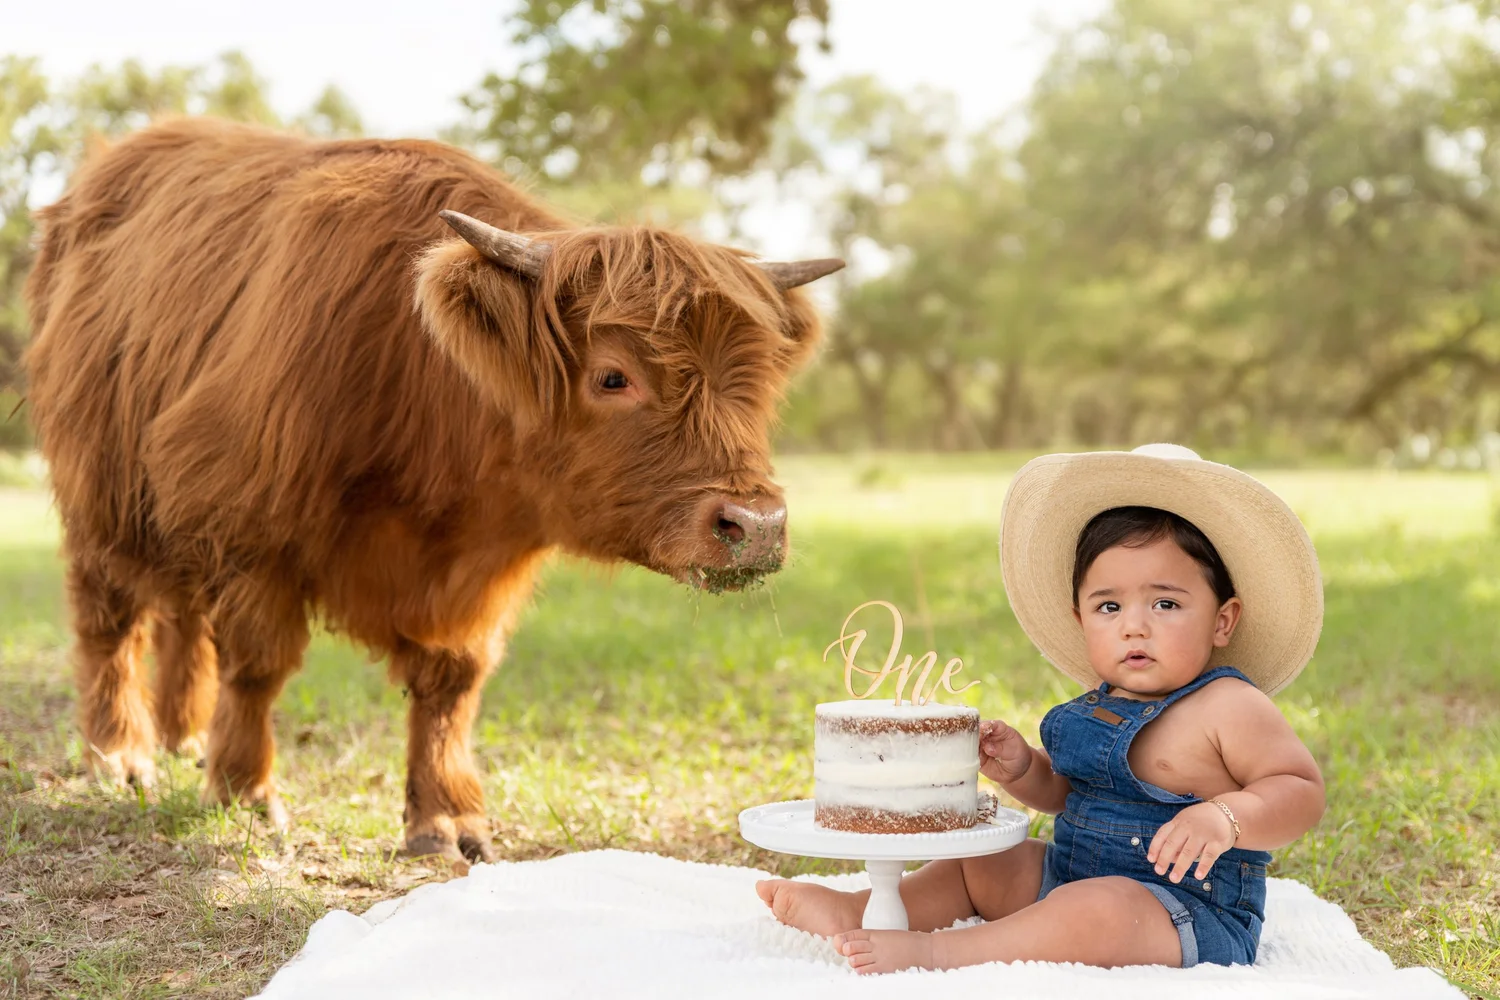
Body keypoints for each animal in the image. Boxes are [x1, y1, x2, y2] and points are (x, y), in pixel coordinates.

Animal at [22, 116, 842, 862]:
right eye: (614, 376)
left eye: (754, 382)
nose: (756, 524)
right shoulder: (249, 522)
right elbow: (257, 666)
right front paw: (245, 792)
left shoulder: (475, 576)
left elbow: (452, 685)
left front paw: (445, 818)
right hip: (100, 493)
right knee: (110, 618)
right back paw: (120, 756)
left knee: (183, 618)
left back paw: (183, 739)